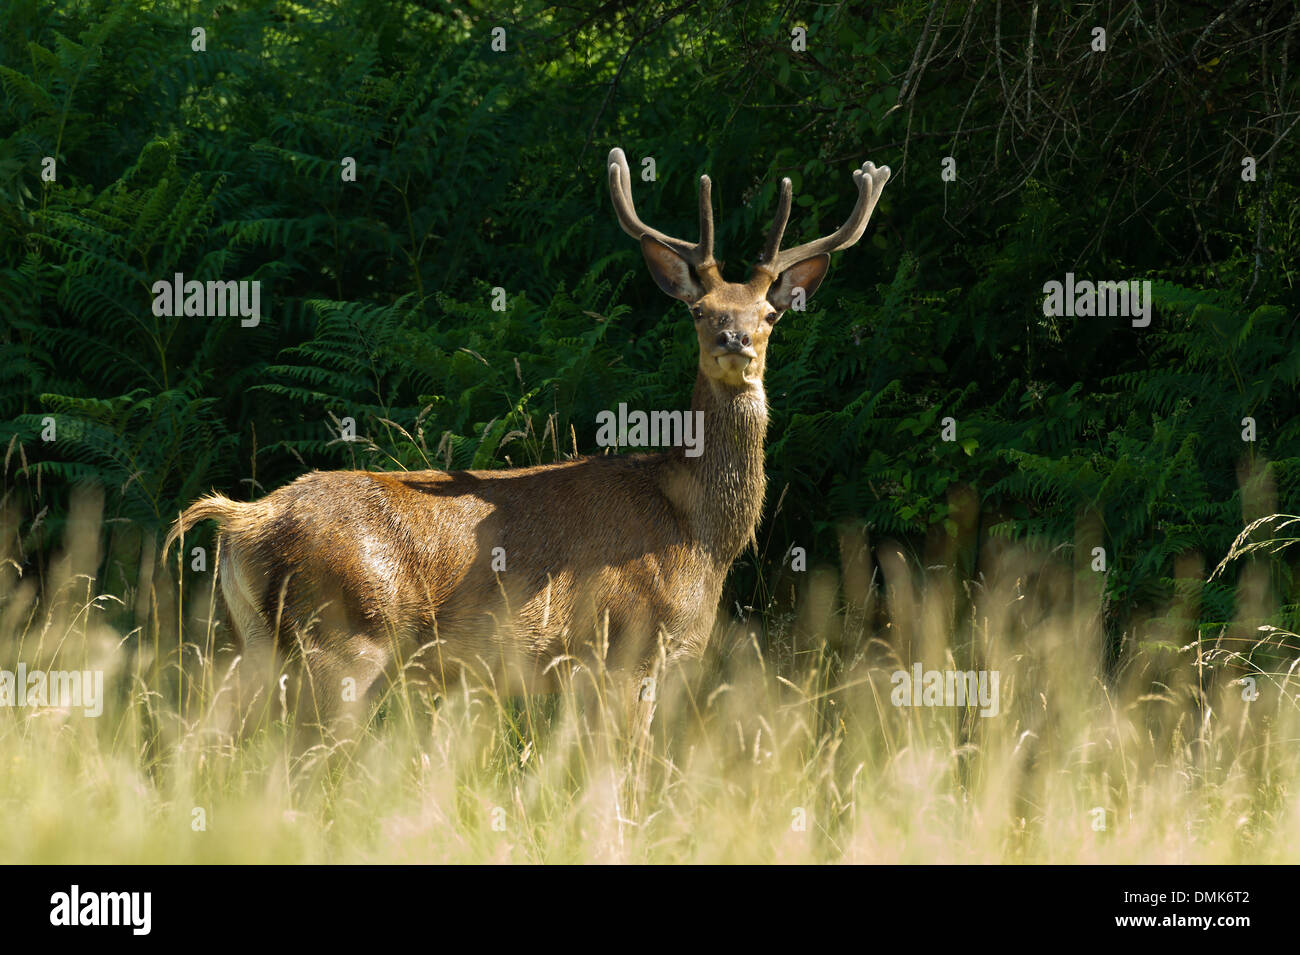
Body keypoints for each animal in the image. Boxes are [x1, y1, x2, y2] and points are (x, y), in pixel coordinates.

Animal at [164, 146, 890, 748]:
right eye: (698, 309)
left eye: (769, 313)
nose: (733, 341)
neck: (699, 533)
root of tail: (247, 519)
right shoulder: (621, 645)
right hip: (343, 642)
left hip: (253, 646)